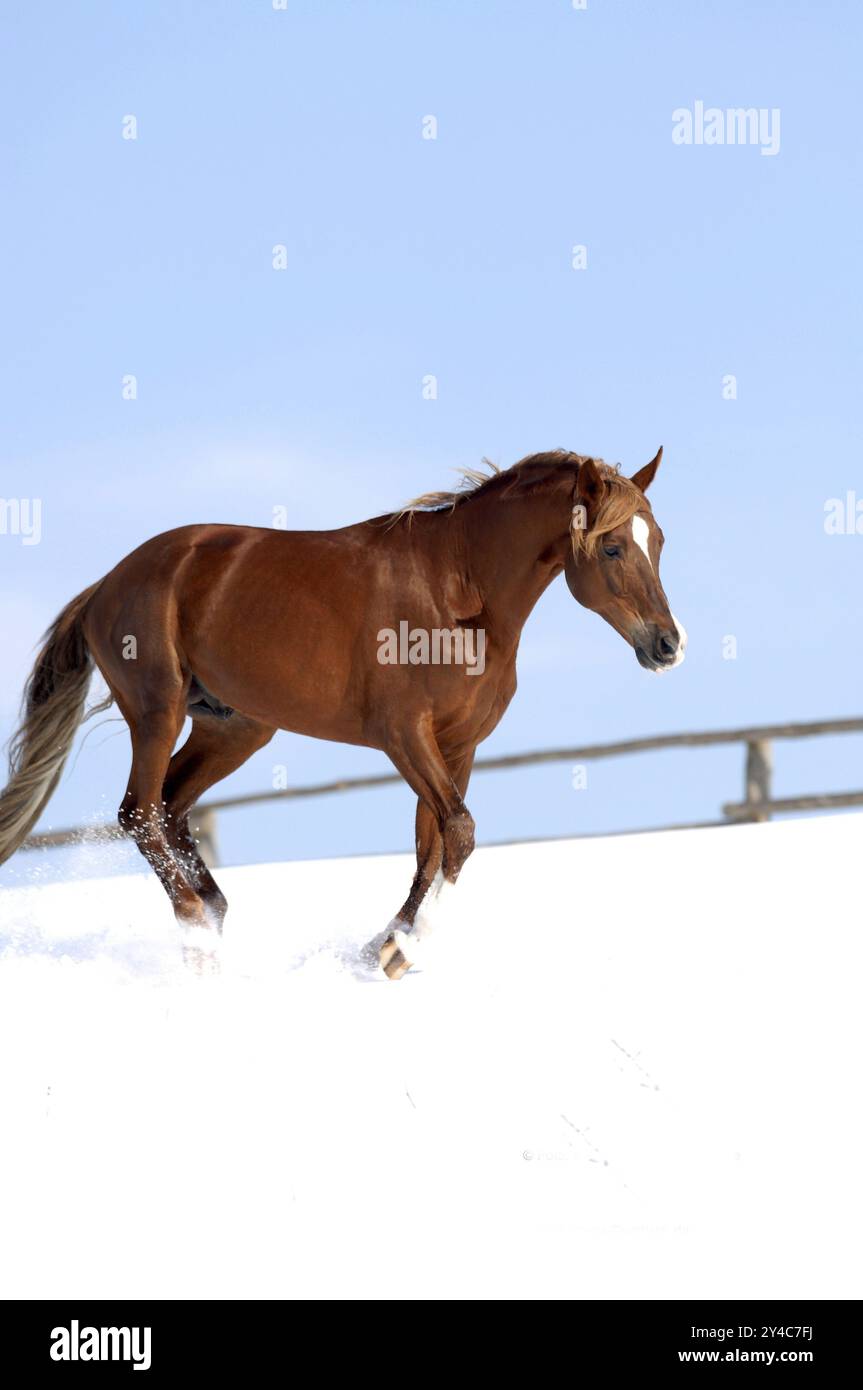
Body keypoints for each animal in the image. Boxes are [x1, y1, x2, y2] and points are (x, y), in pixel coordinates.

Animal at [0, 447, 686, 978]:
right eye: (613, 548)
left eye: (658, 541)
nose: (667, 645)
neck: (460, 594)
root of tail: (106, 583)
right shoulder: (404, 735)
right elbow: (459, 834)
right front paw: (405, 947)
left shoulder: (458, 746)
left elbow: (434, 847)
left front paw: (383, 949)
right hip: (157, 709)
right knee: (139, 812)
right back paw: (195, 925)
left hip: (234, 727)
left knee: (169, 809)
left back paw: (212, 926)